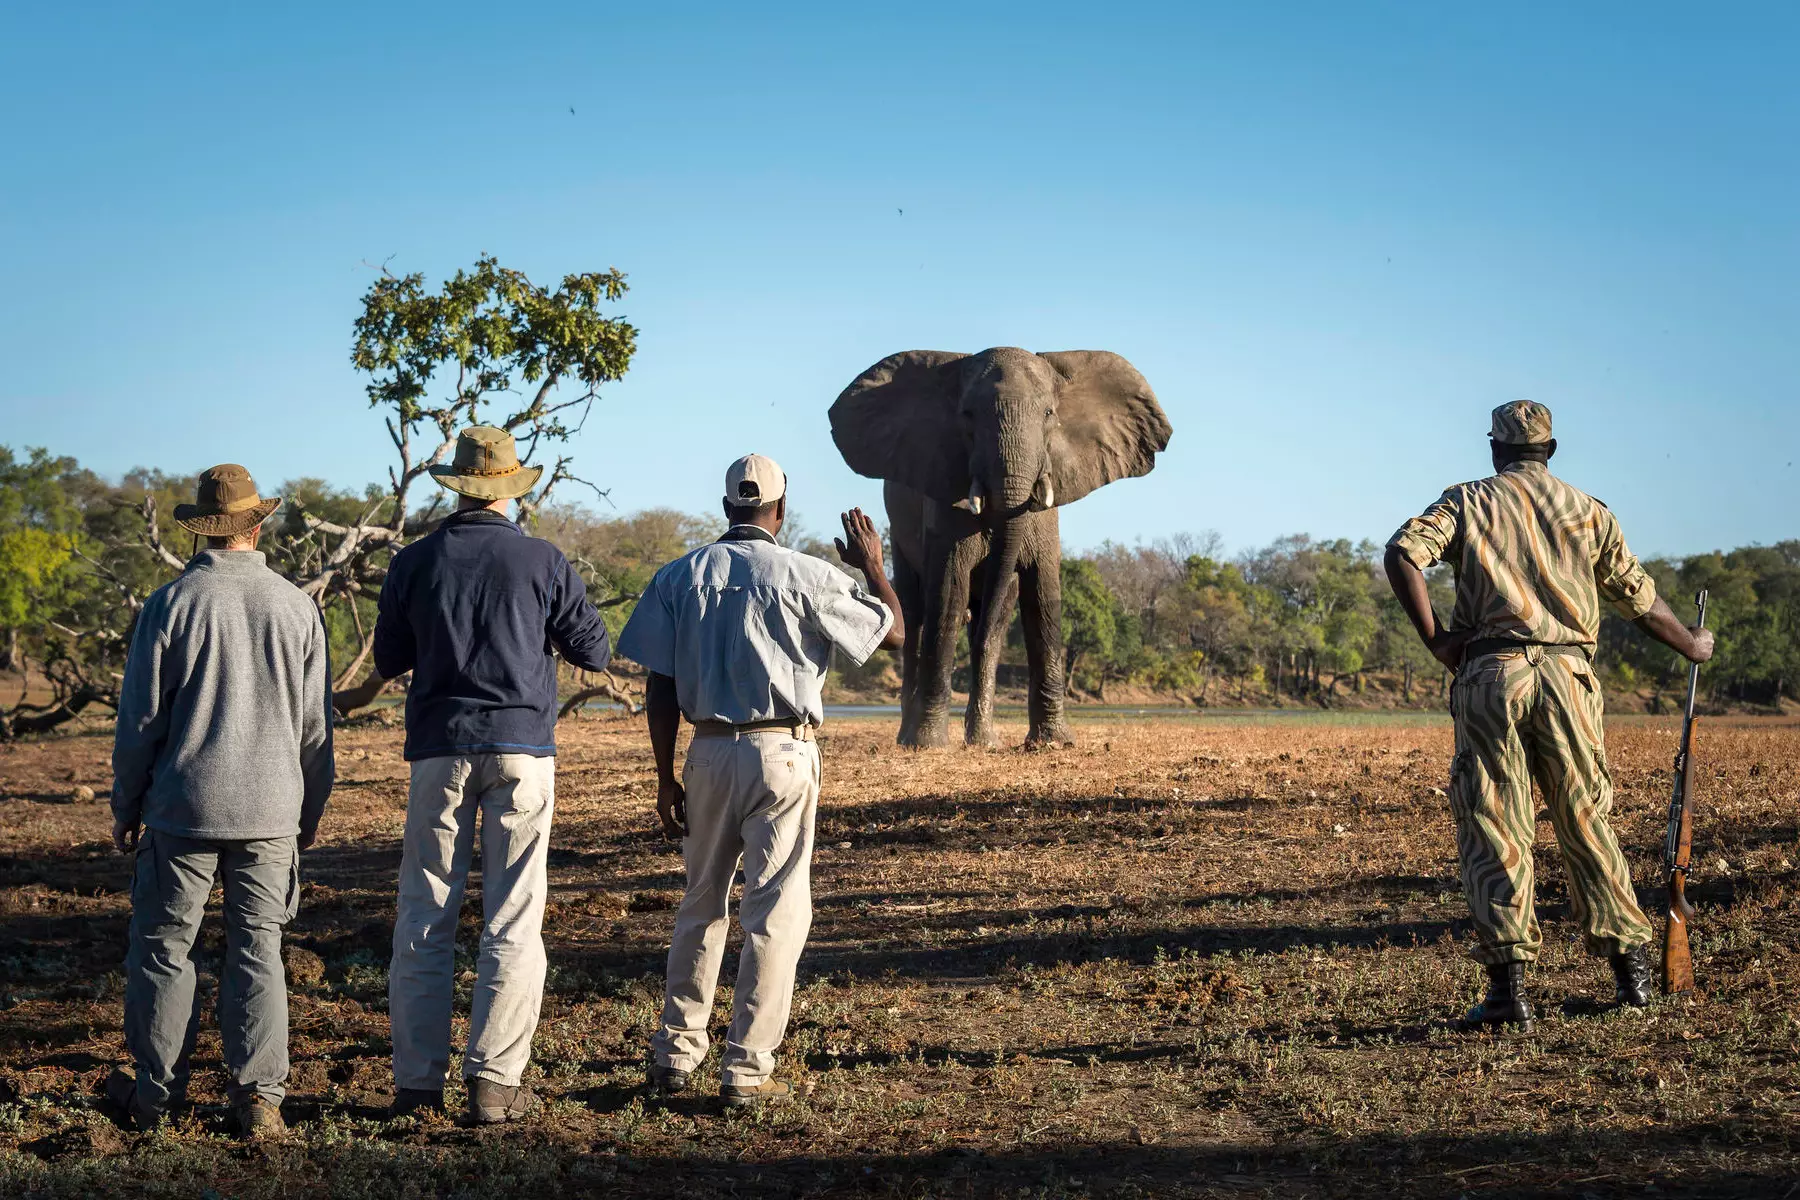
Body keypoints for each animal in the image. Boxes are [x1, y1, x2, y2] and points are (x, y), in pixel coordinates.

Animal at [824, 341, 1166, 744]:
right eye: (968, 416)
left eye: (1049, 414)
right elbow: (948, 593)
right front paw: (930, 744)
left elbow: (1042, 596)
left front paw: (1054, 743)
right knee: (916, 613)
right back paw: (910, 736)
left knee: (994, 621)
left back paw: (983, 739)